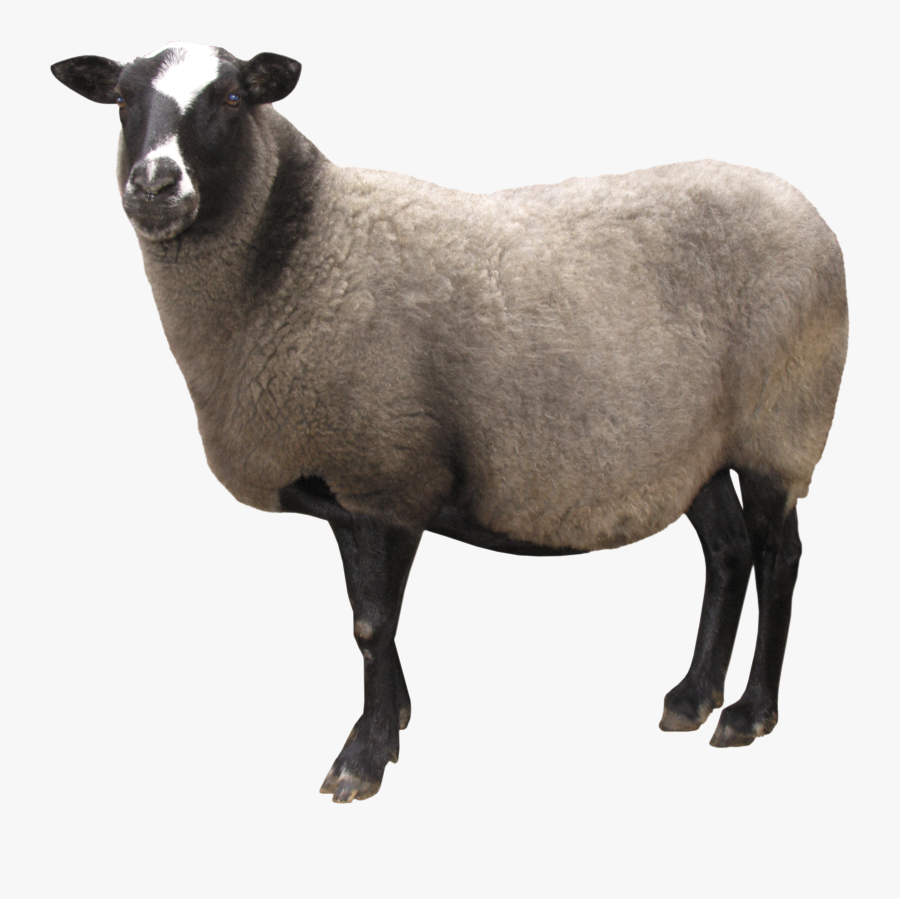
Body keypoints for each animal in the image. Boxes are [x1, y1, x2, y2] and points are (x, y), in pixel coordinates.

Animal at [52, 42, 848, 803]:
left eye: (233, 97)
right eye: (122, 98)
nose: (156, 185)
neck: (298, 251)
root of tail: (807, 211)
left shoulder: (390, 472)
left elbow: (373, 623)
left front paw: (362, 760)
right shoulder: (350, 485)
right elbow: (366, 619)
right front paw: (392, 719)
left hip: (781, 426)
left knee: (778, 557)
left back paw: (749, 713)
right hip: (695, 446)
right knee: (728, 551)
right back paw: (692, 697)